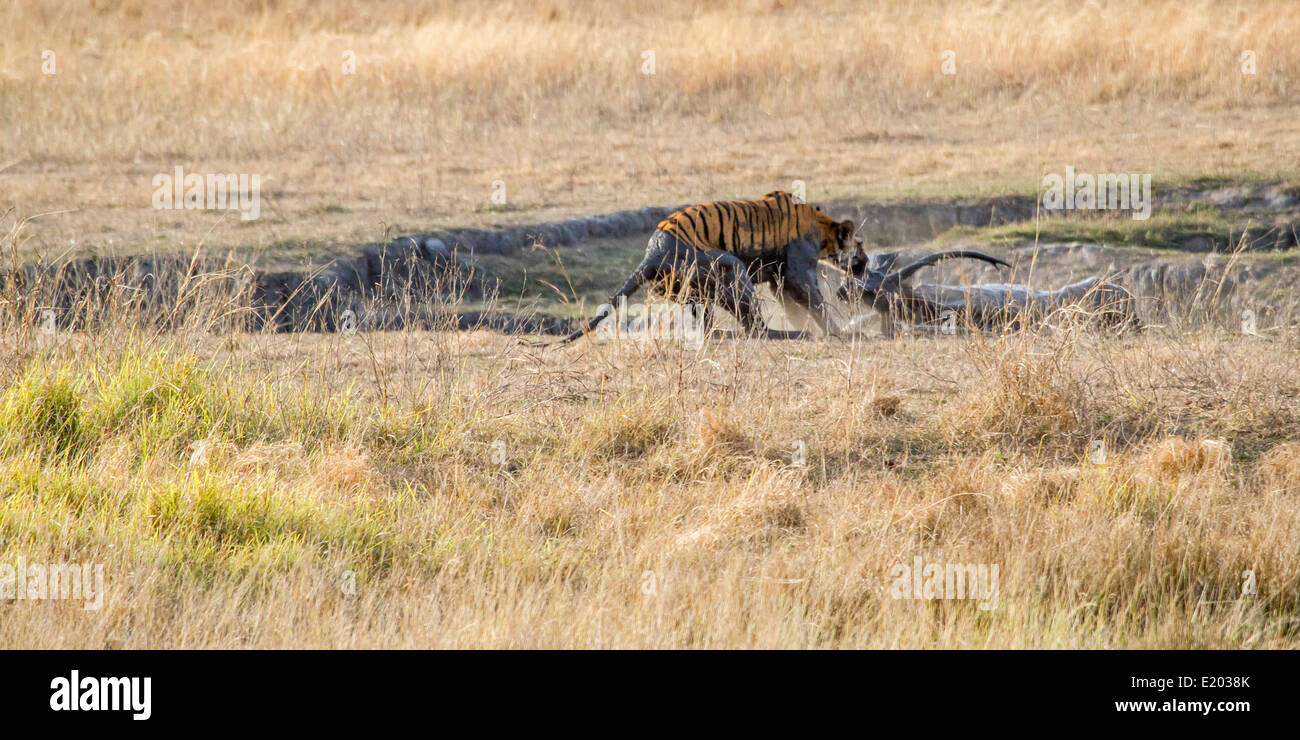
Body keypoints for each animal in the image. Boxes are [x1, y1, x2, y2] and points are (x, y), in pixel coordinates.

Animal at [550, 191, 862, 344]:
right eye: (859, 246)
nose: (866, 261)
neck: (823, 228)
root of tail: (652, 251)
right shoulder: (798, 272)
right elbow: (817, 303)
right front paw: (842, 331)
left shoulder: (780, 281)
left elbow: (799, 307)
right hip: (732, 269)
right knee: (755, 328)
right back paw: (789, 334)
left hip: (693, 292)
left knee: (711, 325)